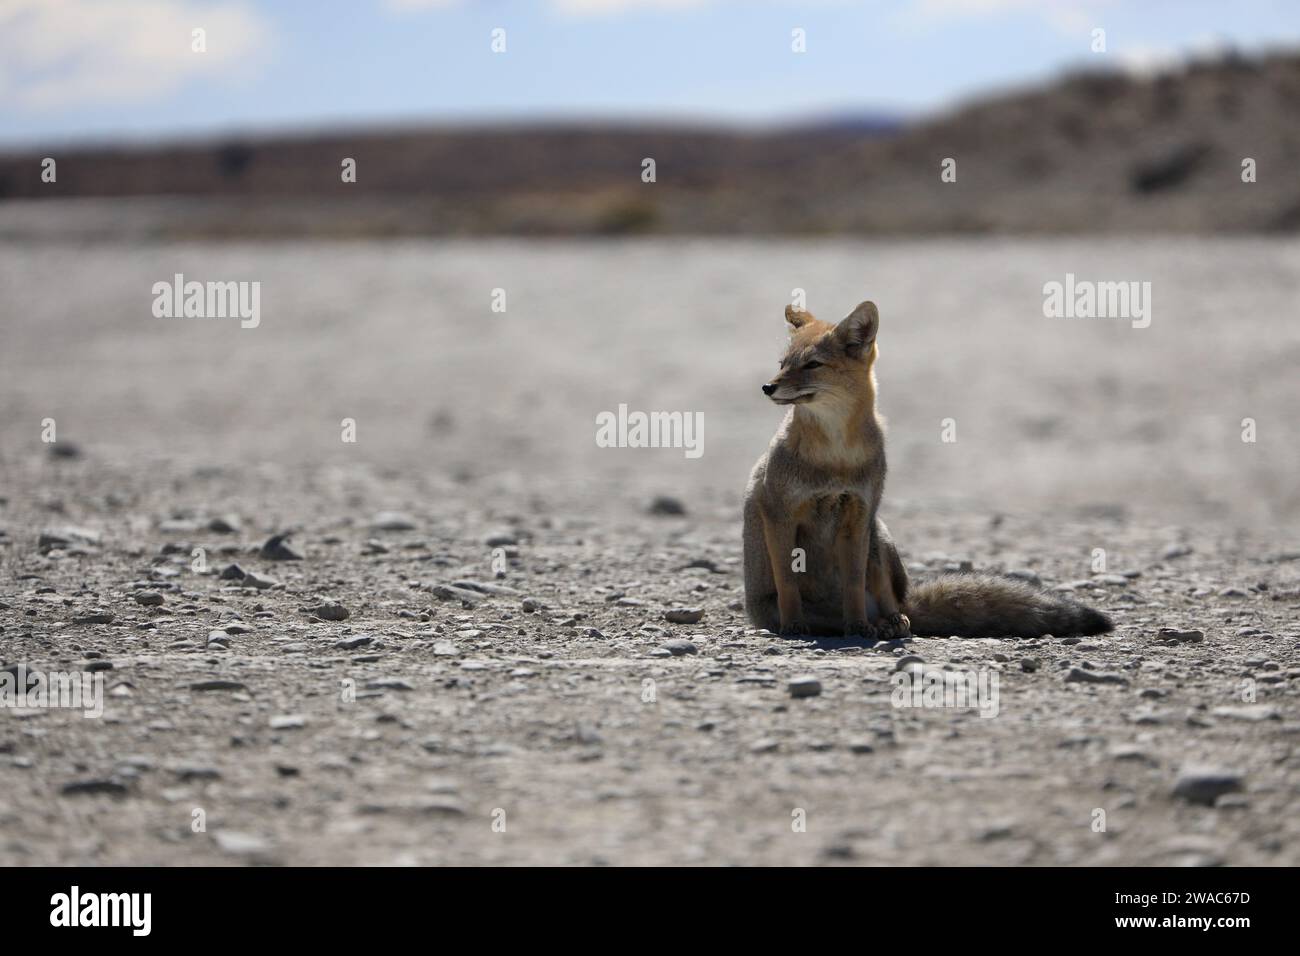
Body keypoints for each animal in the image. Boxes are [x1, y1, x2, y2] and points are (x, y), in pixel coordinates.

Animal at [742, 300, 1113, 640]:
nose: (767, 387)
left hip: (878, 535)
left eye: (812, 365)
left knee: (889, 597)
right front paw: (793, 624)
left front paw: (858, 624)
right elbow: (788, 580)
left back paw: (887, 621)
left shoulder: (859, 513)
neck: (835, 456)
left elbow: (854, 582)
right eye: (782, 365)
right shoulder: (779, 512)